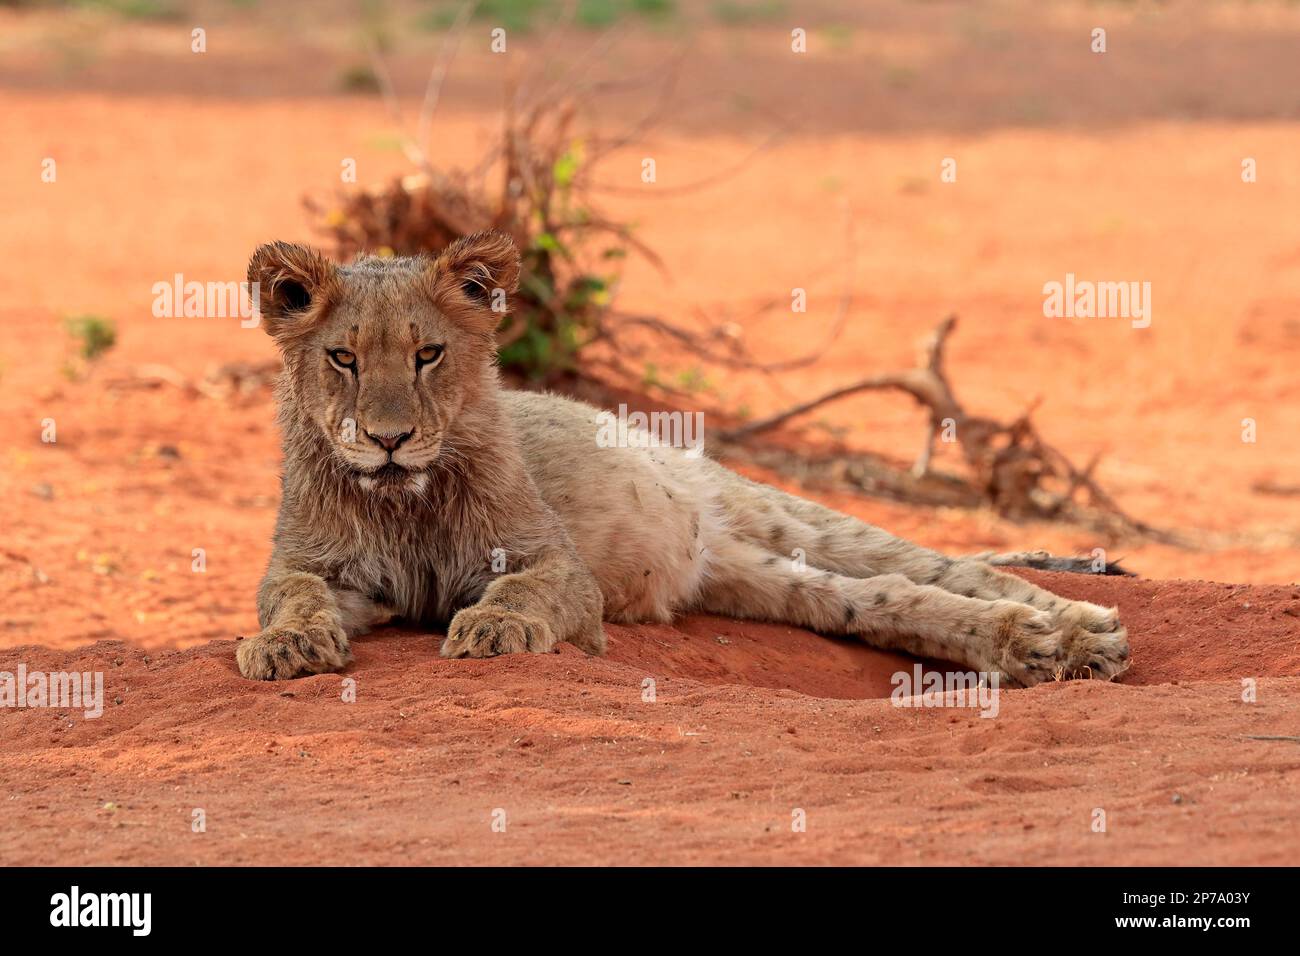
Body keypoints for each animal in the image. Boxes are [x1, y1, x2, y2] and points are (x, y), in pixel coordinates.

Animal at [236, 231, 1130, 687]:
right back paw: (1037, 646)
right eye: (344, 359)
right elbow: (290, 599)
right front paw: (287, 648)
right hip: (755, 578)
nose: (387, 439)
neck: (403, 498)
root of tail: (704, 538)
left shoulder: (560, 565)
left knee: (947, 564)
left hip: (773, 507)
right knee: (878, 598)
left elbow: (527, 589)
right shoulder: (309, 565)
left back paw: (1081, 629)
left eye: (428, 355)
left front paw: (495, 624)